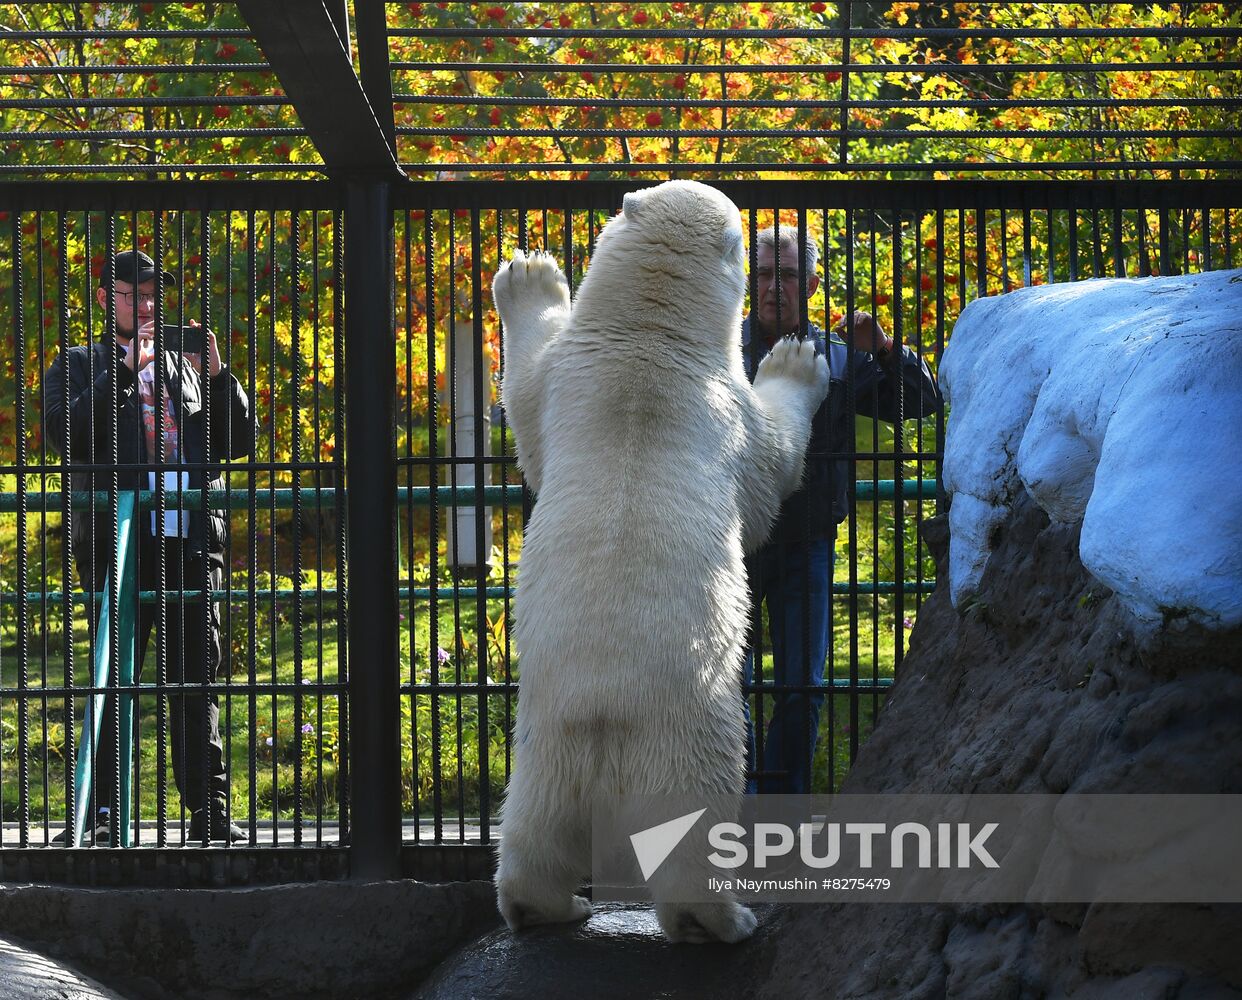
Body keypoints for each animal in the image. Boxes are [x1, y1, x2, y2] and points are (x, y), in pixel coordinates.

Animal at [491, 179, 829, 944]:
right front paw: (796, 359)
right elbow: (770, 474)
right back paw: (722, 918)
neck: (646, 339)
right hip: (691, 742)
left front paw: (526, 273)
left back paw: (548, 904)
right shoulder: (728, 406)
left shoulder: (569, 377)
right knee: (696, 835)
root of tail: (604, 727)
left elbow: (527, 406)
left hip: (543, 748)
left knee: (534, 834)